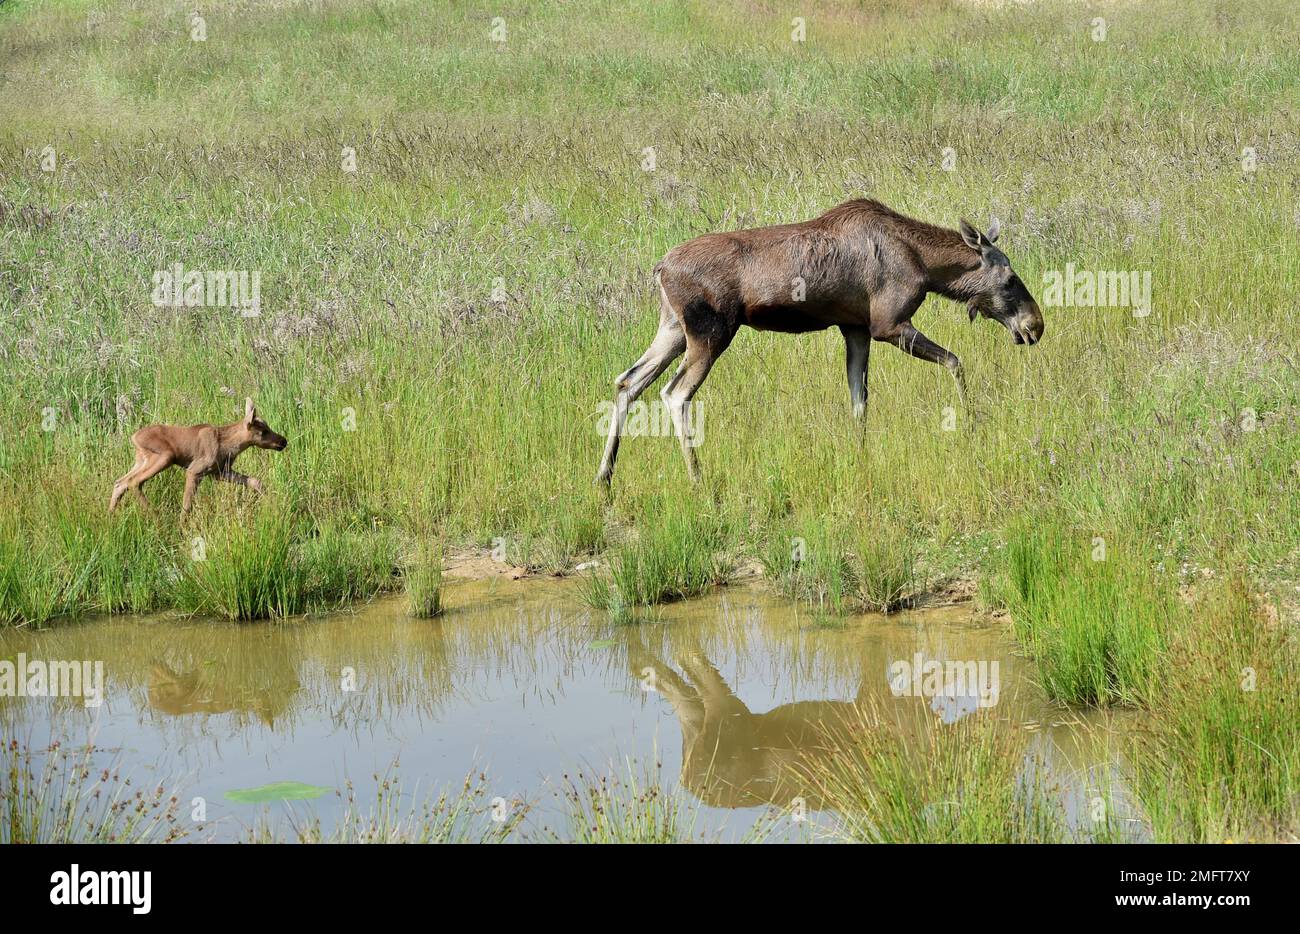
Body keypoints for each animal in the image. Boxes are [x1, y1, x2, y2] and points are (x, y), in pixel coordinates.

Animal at [108, 397, 288, 516]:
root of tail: (133, 437)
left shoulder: (220, 472)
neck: (230, 447)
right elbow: (187, 505)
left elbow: (255, 481)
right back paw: (155, 516)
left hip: (141, 460)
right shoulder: (195, 470)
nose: (283, 441)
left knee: (120, 482)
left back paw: (110, 516)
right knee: (133, 482)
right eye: (263, 431)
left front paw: (272, 503)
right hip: (165, 457)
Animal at [595, 199, 1045, 487]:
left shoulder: (856, 329)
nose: (1035, 325)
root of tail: (659, 268)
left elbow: (859, 402)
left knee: (627, 381)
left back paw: (604, 476)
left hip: (673, 330)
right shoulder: (888, 324)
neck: (926, 264)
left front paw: (861, 458)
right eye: (1010, 279)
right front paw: (970, 425)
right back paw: (696, 476)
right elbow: (955, 361)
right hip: (710, 334)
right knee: (675, 393)